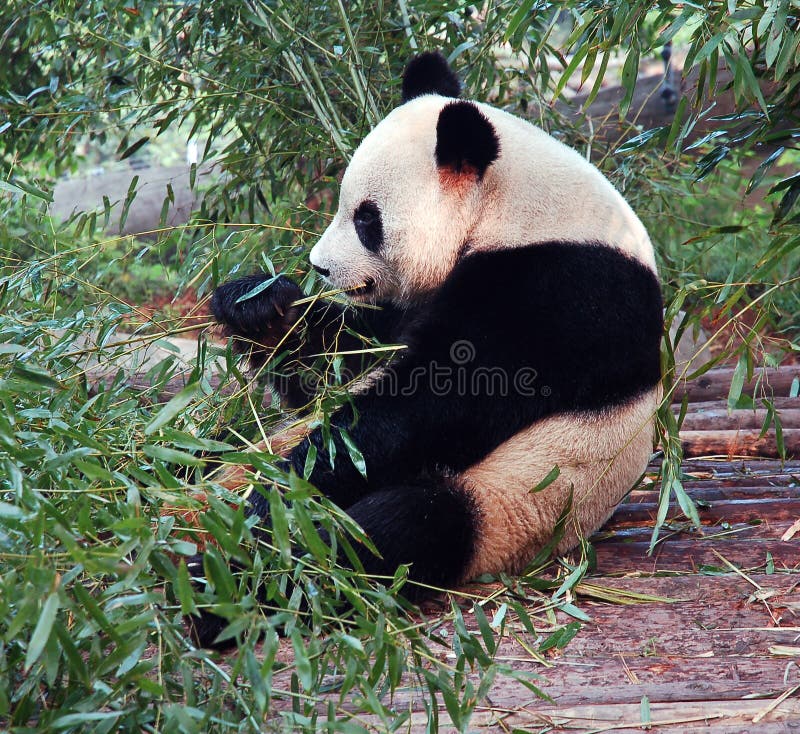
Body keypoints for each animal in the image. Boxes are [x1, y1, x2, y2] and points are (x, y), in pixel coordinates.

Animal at [191, 51, 663, 648]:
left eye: (366, 218)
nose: (320, 267)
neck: (515, 209)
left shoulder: (561, 293)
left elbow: (435, 405)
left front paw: (280, 490)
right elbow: (343, 362)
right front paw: (257, 304)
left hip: (516, 502)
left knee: (395, 528)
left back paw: (225, 588)